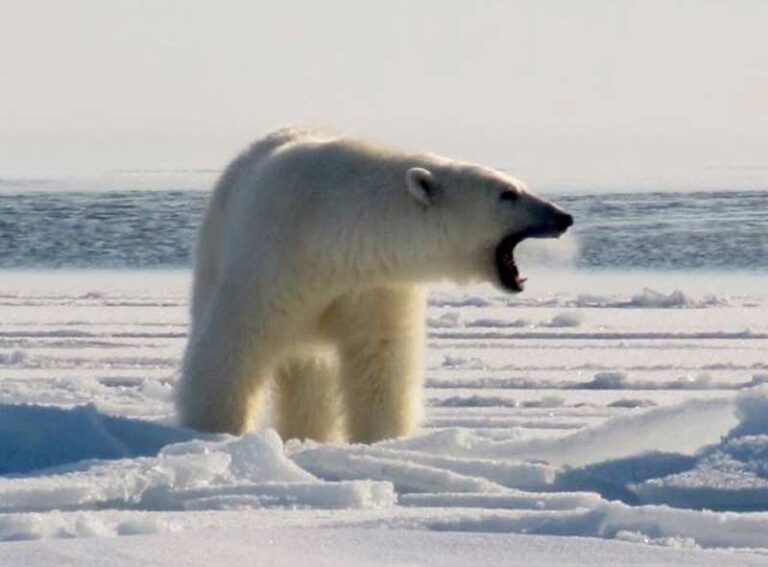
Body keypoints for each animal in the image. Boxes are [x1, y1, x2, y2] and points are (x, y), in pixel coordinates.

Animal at [176, 127, 573, 443]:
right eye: (508, 193)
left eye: (519, 187)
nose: (563, 217)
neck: (331, 232)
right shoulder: (274, 257)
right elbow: (233, 346)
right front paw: (215, 431)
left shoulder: (373, 285)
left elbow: (381, 362)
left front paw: (381, 440)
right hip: (214, 249)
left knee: (312, 382)